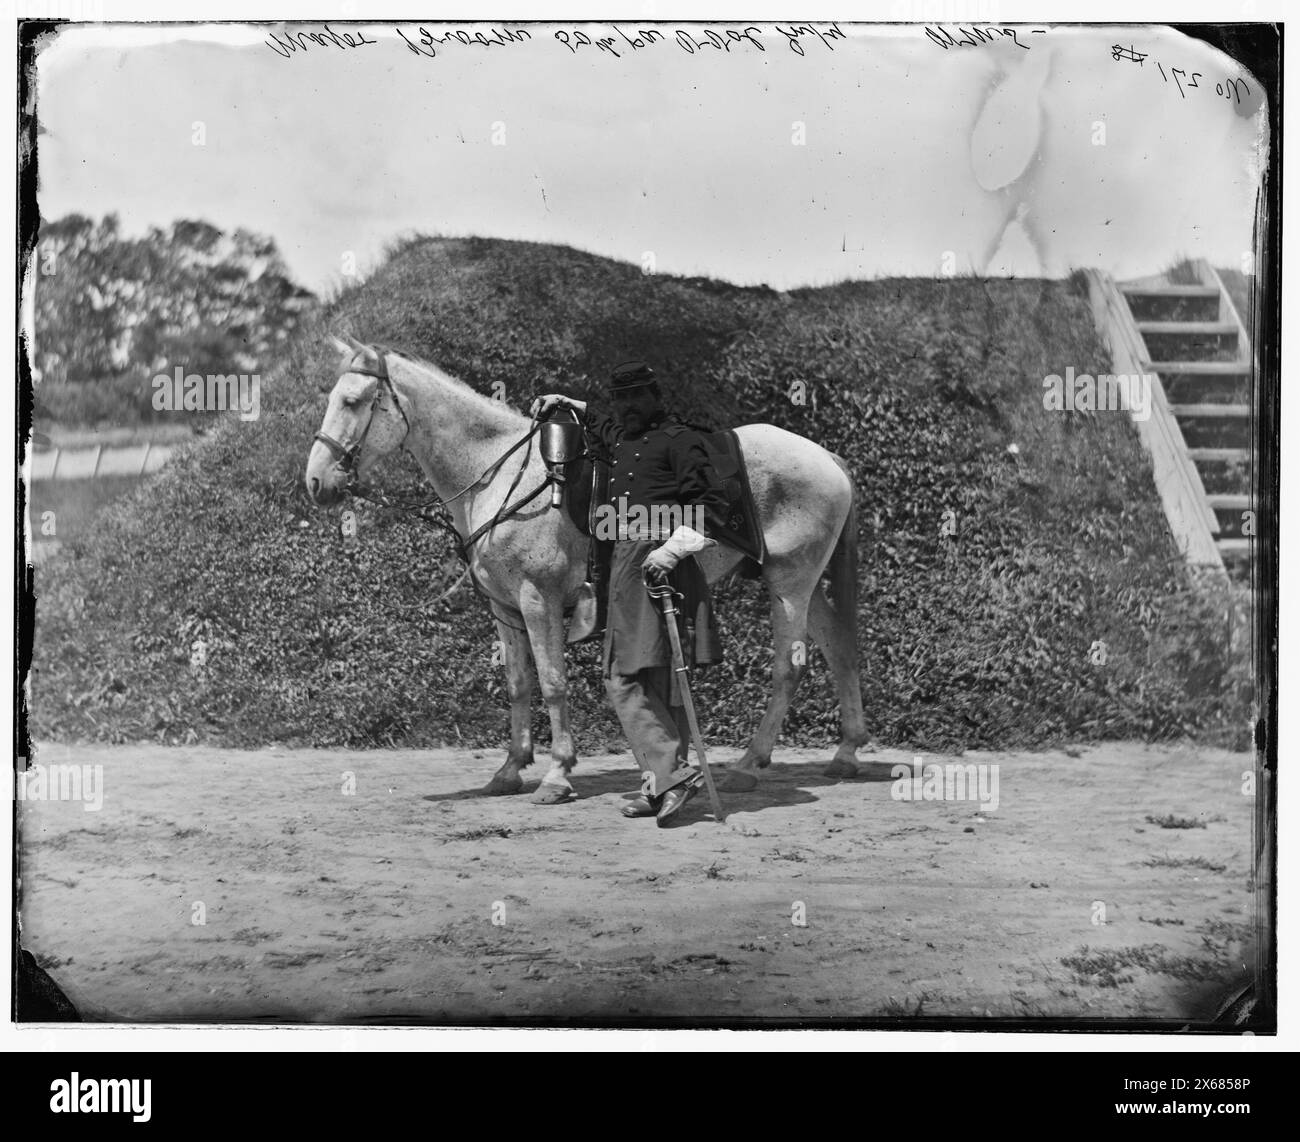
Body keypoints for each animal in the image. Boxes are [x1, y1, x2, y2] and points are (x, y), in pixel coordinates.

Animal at [306, 333, 880, 804]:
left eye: (352, 401)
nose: (316, 481)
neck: (498, 472)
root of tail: (826, 457)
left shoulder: (537, 600)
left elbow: (553, 681)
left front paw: (558, 774)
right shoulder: (504, 608)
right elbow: (519, 684)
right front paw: (509, 770)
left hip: (790, 585)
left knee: (790, 667)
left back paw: (748, 764)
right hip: (801, 584)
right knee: (839, 648)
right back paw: (846, 753)